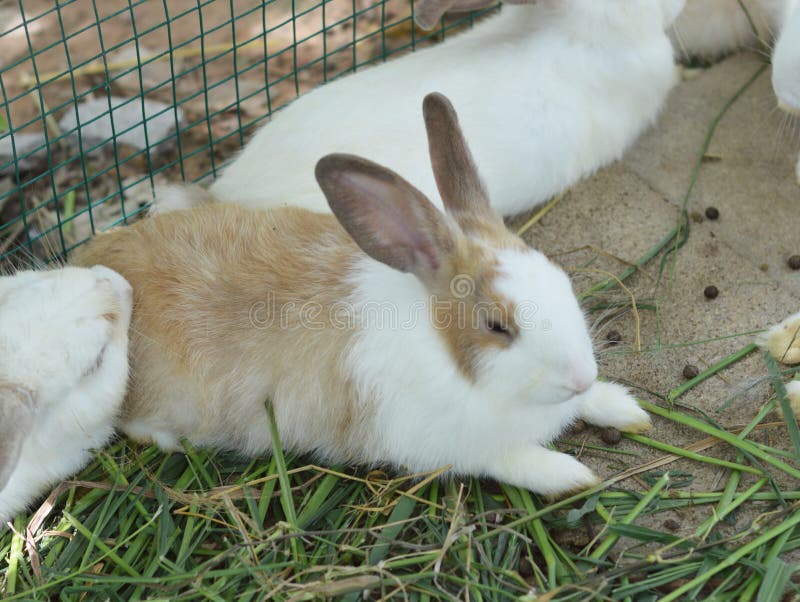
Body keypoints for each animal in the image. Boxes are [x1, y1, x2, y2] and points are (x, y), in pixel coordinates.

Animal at [71, 93, 651, 497]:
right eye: (496, 327)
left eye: (564, 283)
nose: (580, 376)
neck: (447, 353)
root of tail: (91, 262)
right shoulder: (444, 444)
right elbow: (512, 460)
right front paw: (572, 475)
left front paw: (624, 408)